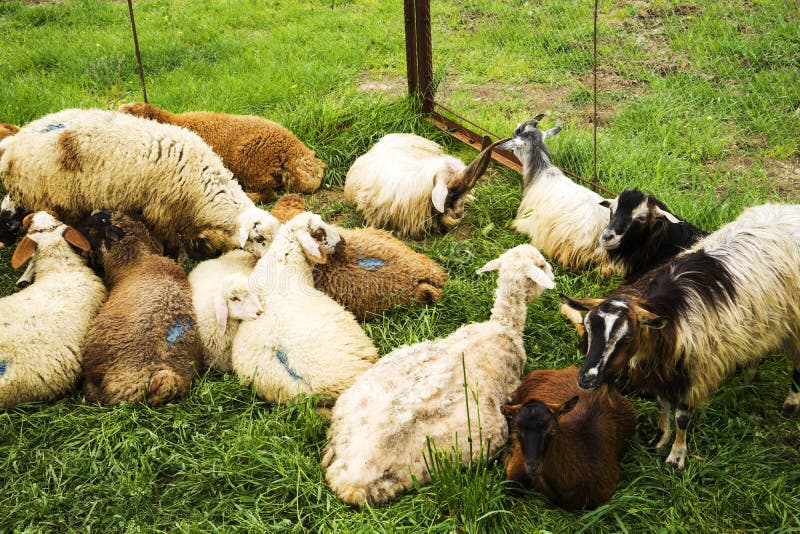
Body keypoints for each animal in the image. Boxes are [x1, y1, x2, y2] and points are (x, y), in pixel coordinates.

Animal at [562, 203, 800, 470]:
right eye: (588, 328)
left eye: (627, 337)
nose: (586, 379)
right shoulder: (658, 370)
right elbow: (661, 406)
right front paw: (659, 439)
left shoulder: (694, 371)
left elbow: (682, 417)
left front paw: (676, 457)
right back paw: (749, 377)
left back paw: (791, 404)